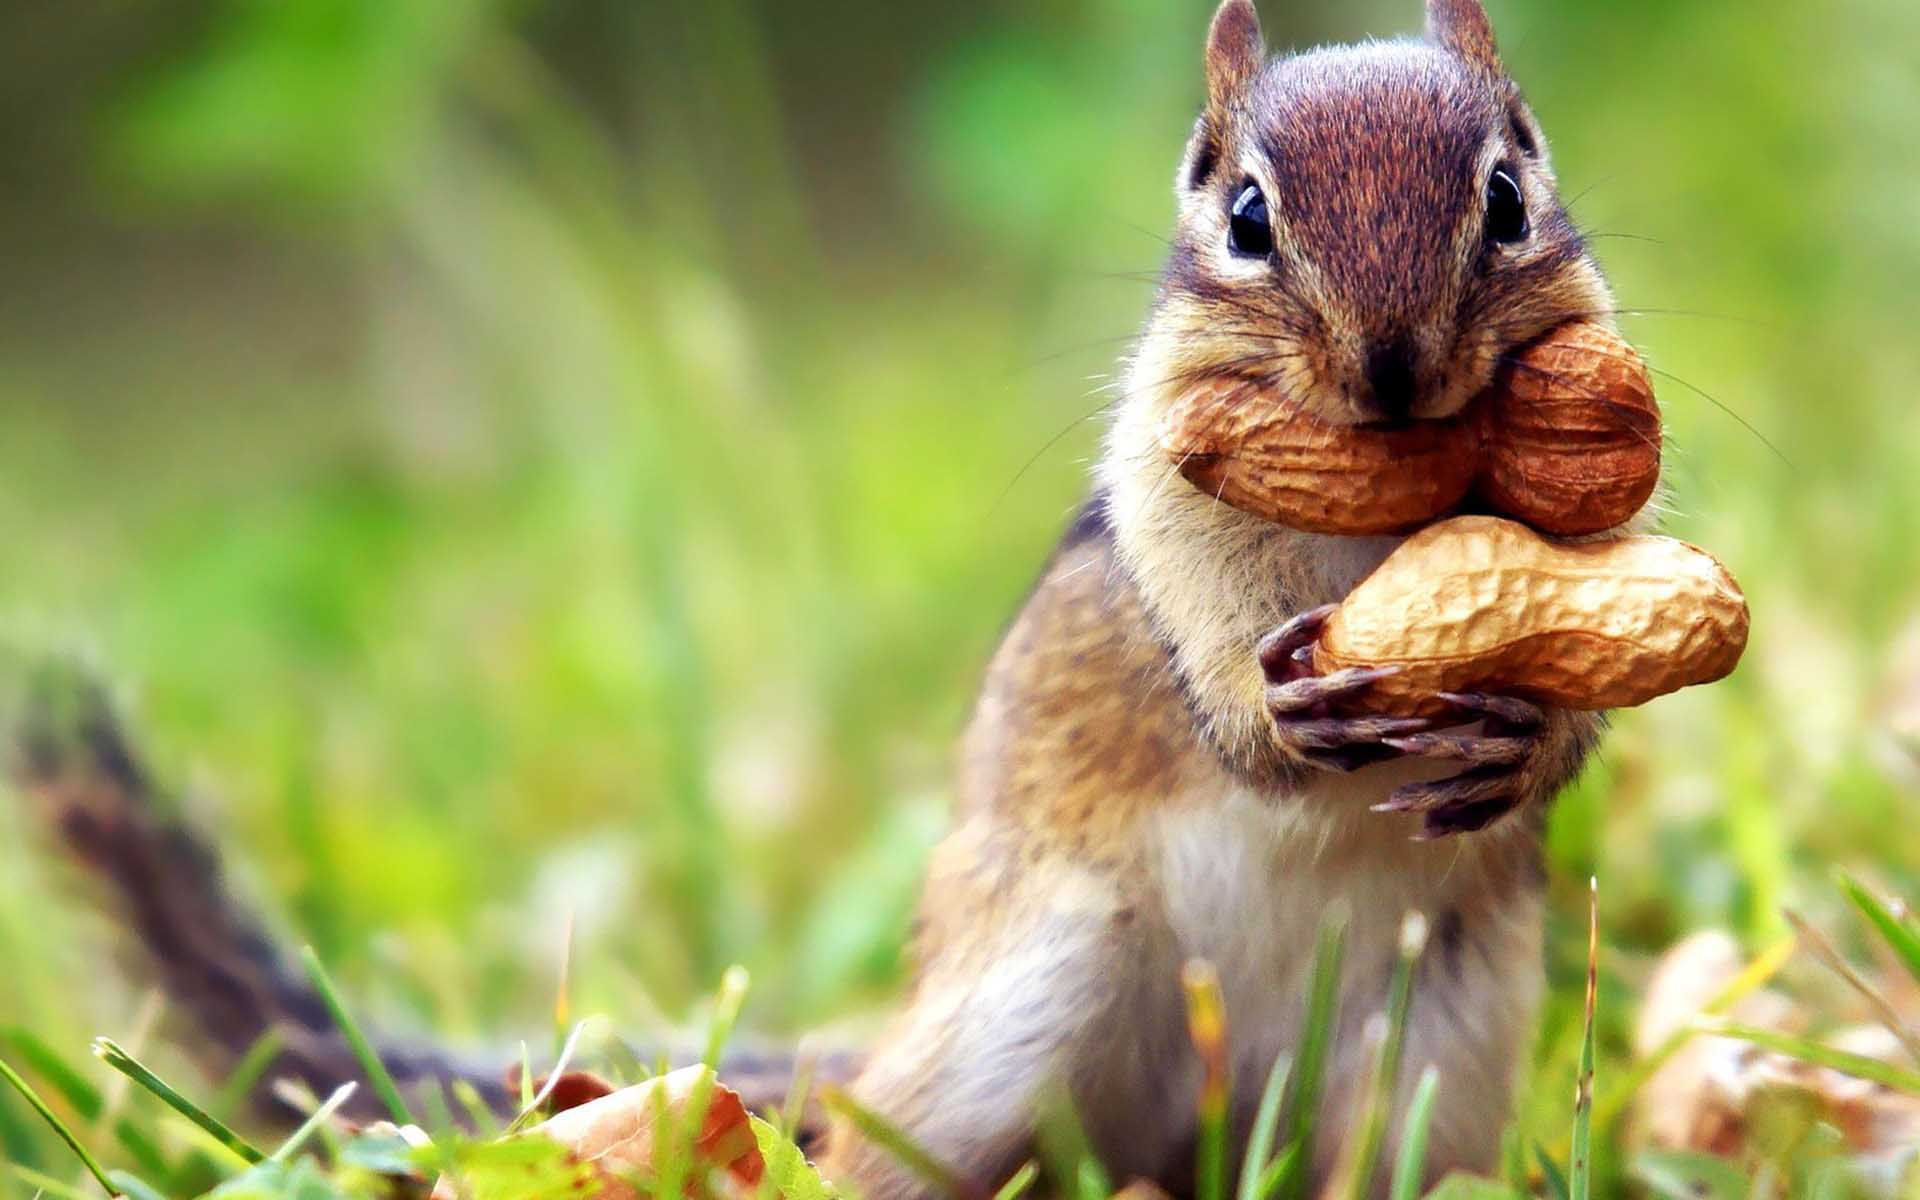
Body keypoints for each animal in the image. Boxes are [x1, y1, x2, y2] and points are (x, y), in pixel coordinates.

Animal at [10, 1, 1636, 1197]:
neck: (1390, 503)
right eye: (1244, 213)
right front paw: (1271, 711)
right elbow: (1201, 632)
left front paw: (1527, 744)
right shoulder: (1162, 498)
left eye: (1508, 193)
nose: (1395, 372)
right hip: (1011, 1023)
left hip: (1431, 1067)